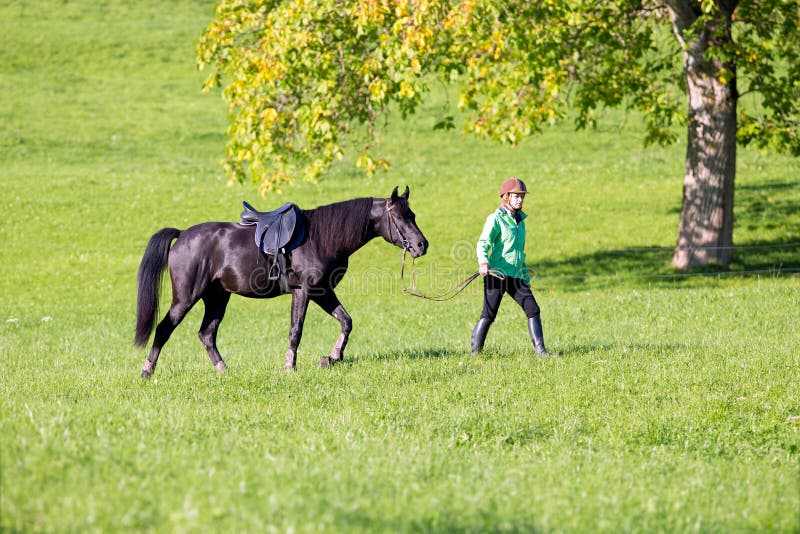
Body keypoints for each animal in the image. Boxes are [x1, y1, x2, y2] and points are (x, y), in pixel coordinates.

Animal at [134, 186, 428, 377]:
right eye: (399, 217)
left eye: (412, 215)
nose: (421, 245)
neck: (321, 237)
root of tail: (183, 234)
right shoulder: (304, 291)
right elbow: (296, 330)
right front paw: (290, 366)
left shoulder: (323, 292)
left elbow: (346, 321)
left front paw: (331, 358)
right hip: (186, 297)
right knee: (164, 329)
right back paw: (147, 370)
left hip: (217, 297)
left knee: (207, 334)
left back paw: (223, 370)